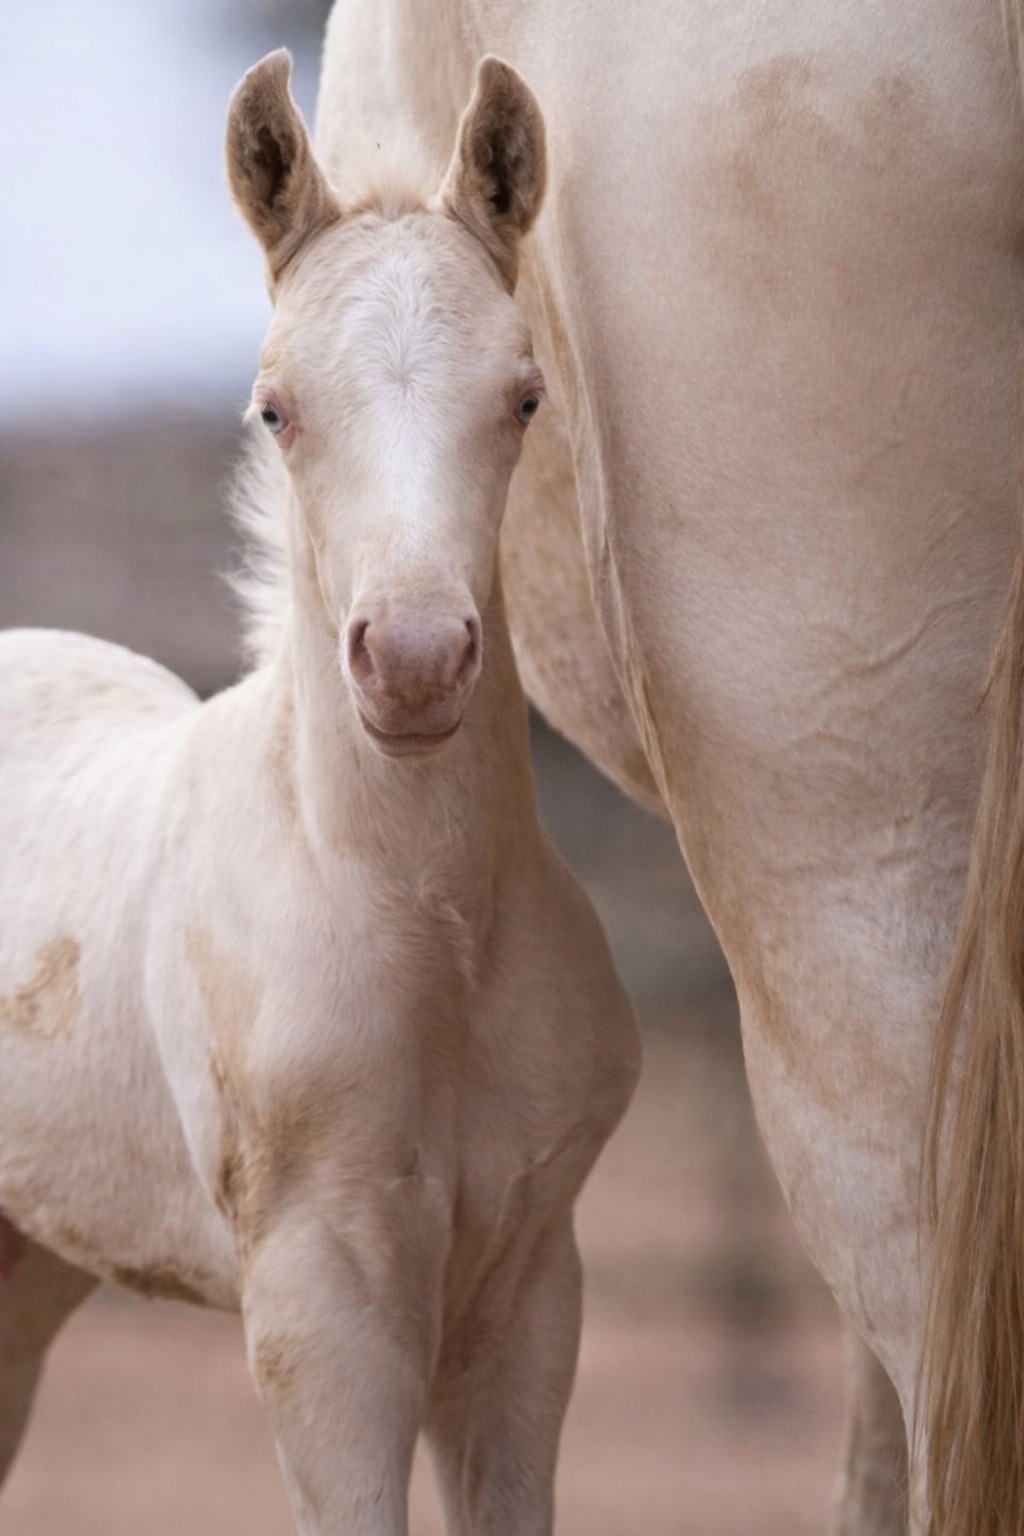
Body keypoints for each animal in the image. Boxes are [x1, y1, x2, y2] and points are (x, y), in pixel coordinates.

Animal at [0, 53, 639, 1534]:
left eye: (525, 397)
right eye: (276, 407)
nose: (411, 662)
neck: (423, 924)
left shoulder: (526, 1290)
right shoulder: (321, 1313)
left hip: (33, 1263)